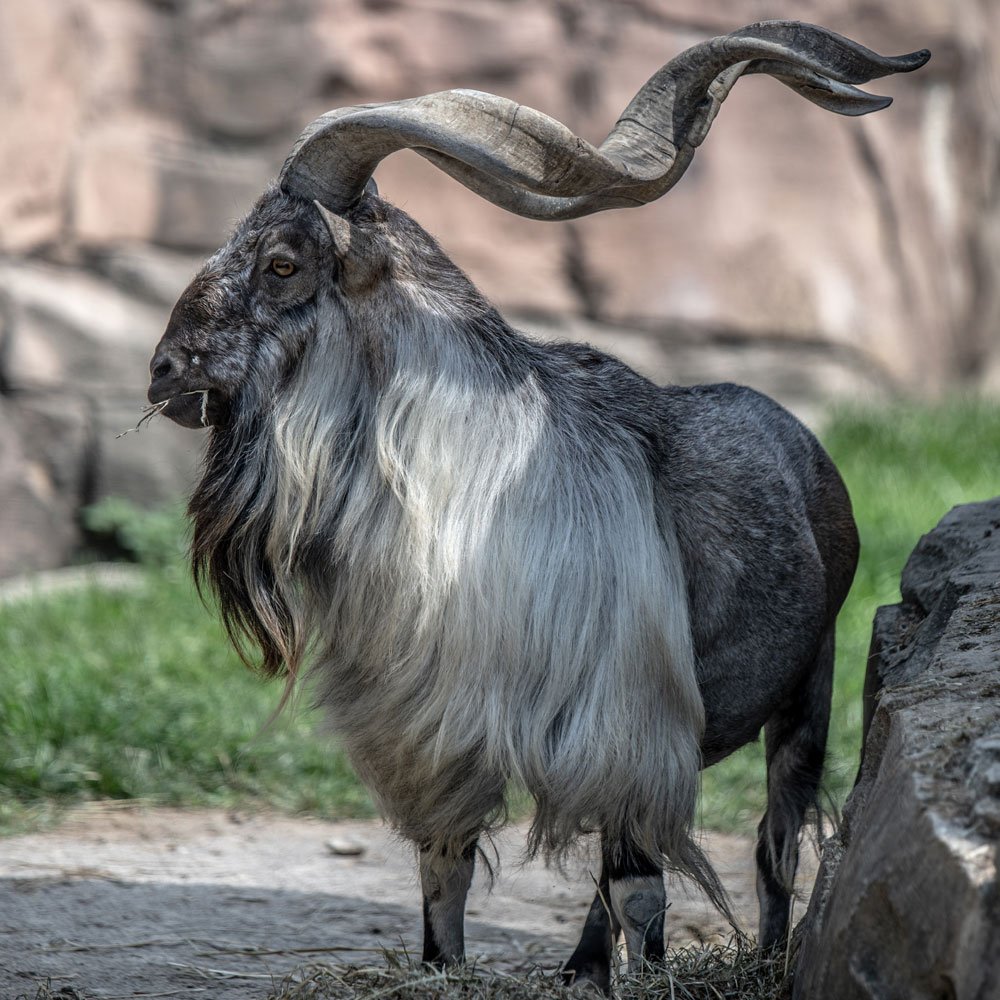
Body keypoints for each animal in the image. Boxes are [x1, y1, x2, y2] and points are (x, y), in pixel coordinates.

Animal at [147, 21, 927, 991]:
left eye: (282, 262)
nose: (163, 370)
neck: (469, 488)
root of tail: (808, 446)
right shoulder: (441, 740)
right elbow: (445, 874)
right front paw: (448, 972)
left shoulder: (631, 732)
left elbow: (642, 890)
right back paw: (581, 969)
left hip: (810, 684)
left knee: (771, 844)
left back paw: (766, 959)